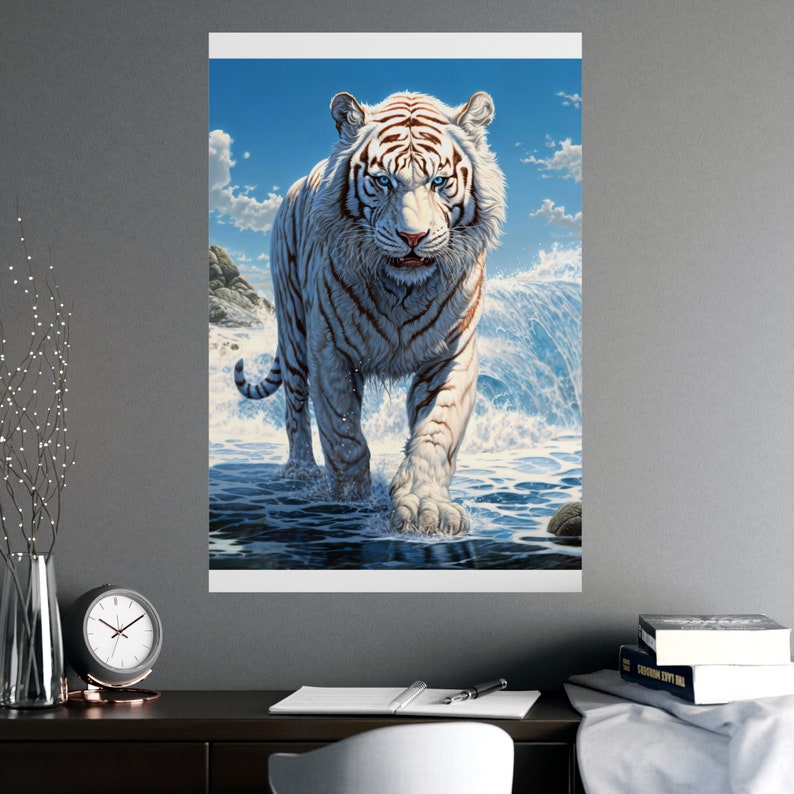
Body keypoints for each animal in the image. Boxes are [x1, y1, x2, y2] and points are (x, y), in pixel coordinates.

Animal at [234, 90, 505, 535]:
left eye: (439, 181)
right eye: (383, 181)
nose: (412, 237)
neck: (404, 290)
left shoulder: (453, 354)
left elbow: (437, 432)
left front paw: (427, 509)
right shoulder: (329, 351)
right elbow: (343, 433)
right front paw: (350, 499)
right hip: (292, 329)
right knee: (294, 406)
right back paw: (300, 472)